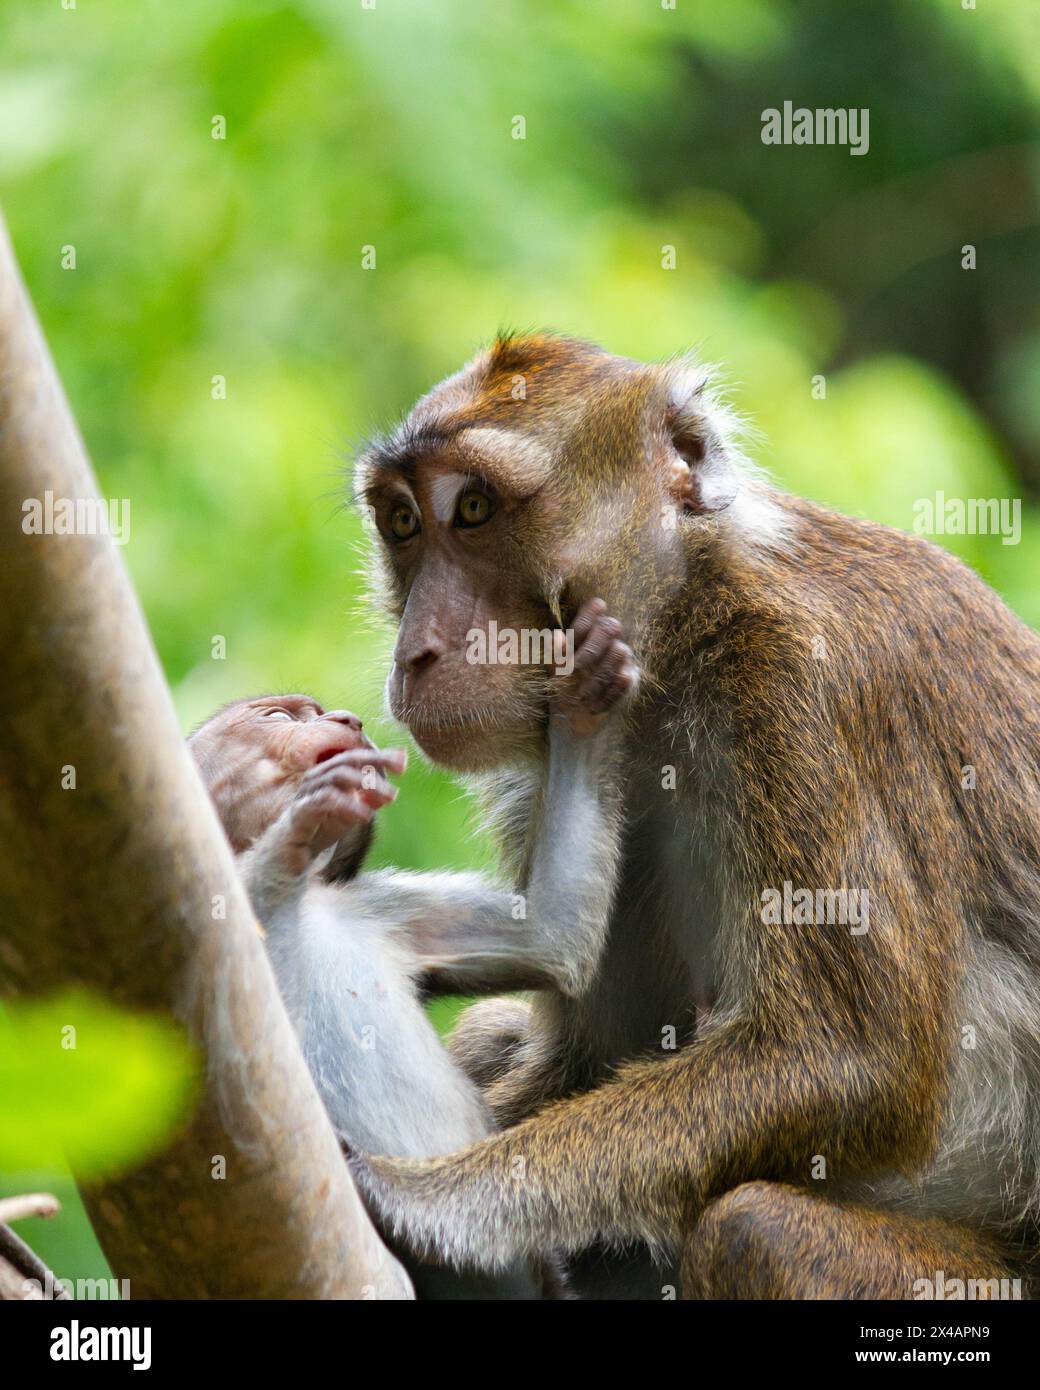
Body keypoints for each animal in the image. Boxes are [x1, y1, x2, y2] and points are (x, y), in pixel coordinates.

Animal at [187, 601, 637, 1298]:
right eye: (283, 718)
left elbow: (550, 935)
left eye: (321, 712)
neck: (310, 902)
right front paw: (303, 822)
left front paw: (580, 700)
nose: (348, 721)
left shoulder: (379, 908)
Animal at [341, 330, 1040, 1301]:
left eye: (473, 509)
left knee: (755, 1232)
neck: (682, 631)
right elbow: (588, 1054)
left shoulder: (799, 685)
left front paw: (424, 1201)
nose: (418, 651)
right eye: (404, 524)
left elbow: (852, 1062)